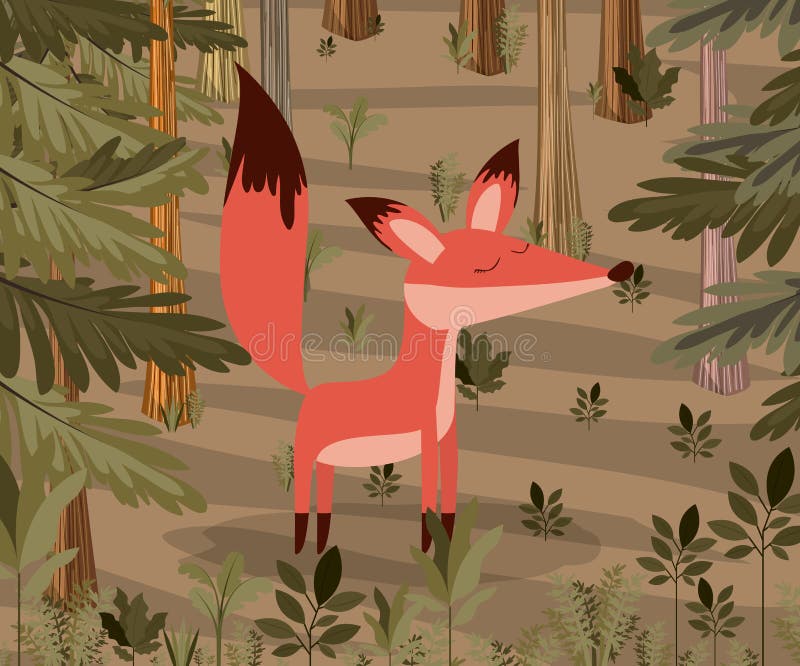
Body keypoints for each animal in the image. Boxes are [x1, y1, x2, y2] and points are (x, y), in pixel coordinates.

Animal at [221, 65, 634, 555]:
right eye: (485, 267)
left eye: (522, 247)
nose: (621, 270)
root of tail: (310, 390)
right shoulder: (421, 439)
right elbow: (424, 510)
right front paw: (425, 552)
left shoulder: (447, 441)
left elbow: (450, 506)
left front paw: (449, 550)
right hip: (308, 454)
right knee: (302, 504)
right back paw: (304, 552)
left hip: (331, 460)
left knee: (325, 504)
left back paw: (321, 549)